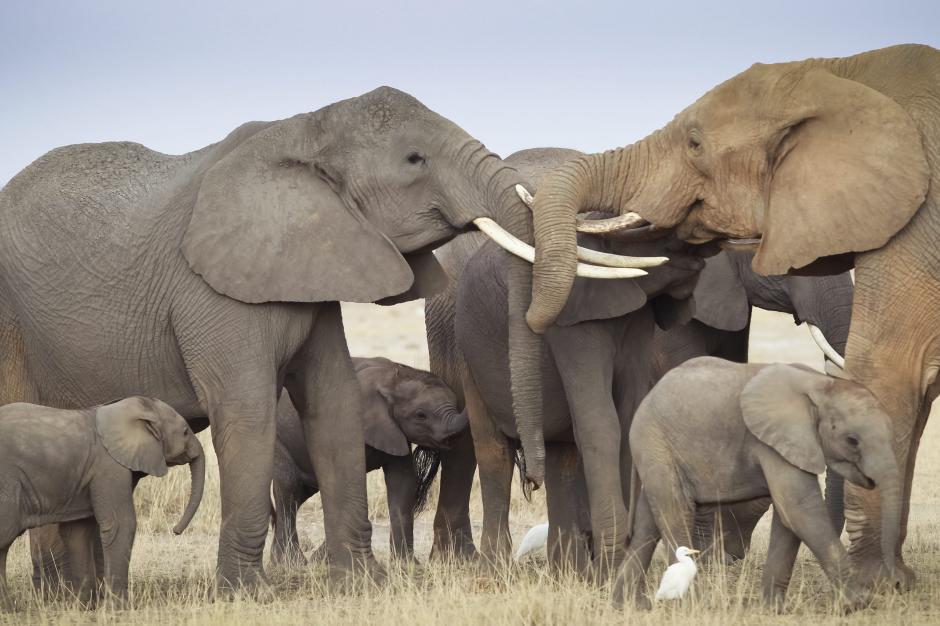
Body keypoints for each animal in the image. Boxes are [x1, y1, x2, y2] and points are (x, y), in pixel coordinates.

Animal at [0, 397, 204, 606]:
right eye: (185, 432)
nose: (175, 530)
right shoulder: (109, 466)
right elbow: (121, 524)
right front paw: (118, 606)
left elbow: (77, 532)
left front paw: (83, 605)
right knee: (5, 535)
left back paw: (9, 607)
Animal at [271, 357, 466, 564]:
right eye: (421, 415)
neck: (394, 377)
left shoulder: (395, 431)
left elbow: (402, 483)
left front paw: (409, 566)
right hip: (276, 441)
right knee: (288, 489)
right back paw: (291, 563)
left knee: (298, 495)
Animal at [616, 357, 899, 612]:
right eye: (852, 440)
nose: (895, 584)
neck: (820, 384)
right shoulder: (774, 440)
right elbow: (799, 508)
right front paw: (859, 603)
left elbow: (788, 516)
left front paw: (774, 609)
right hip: (655, 443)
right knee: (675, 512)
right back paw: (695, 605)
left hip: (656, 452)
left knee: (648, 523)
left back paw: (631, 605)